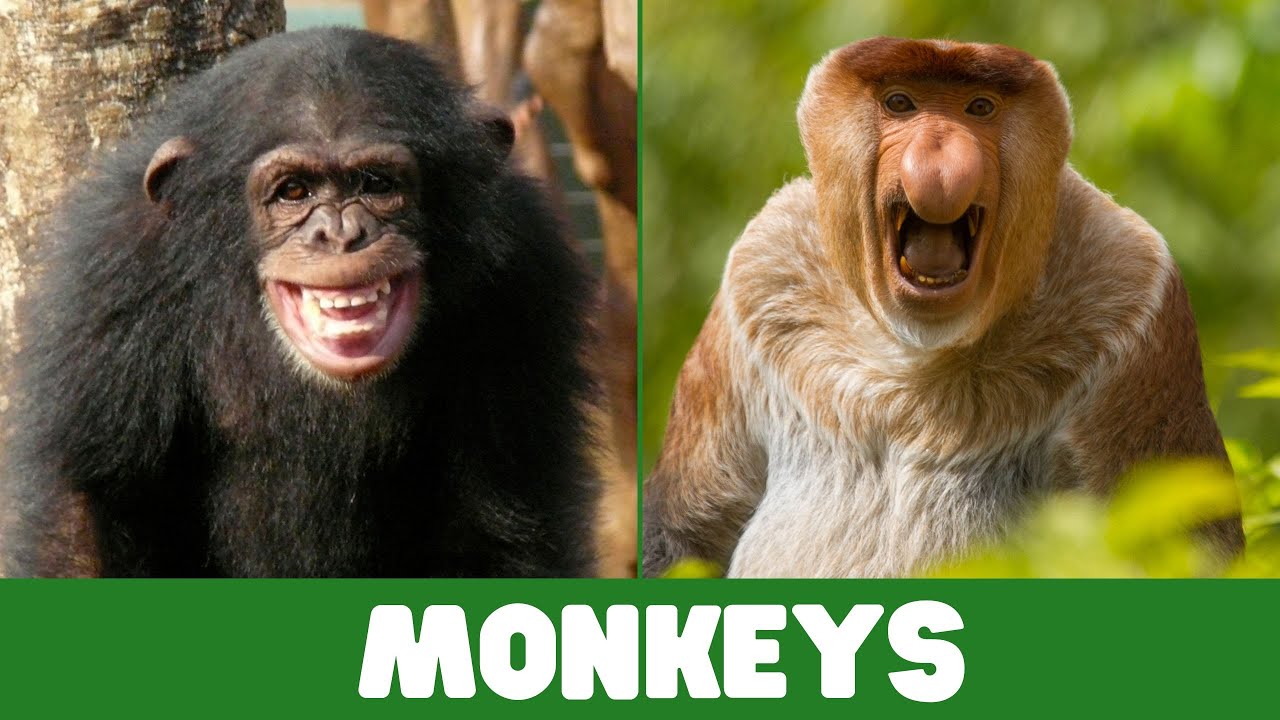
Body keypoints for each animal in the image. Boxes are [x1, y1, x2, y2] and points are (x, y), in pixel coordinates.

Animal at [0, 27, 602, 578]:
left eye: (376, 184)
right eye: (294, 191)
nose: (339, 234)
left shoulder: (526, 282)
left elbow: (500, 525)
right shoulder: (110, 282)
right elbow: (86, 515)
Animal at [642, 37, 1244, 578]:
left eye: (979, 108)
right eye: (900, 103)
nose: (938, 156)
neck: (917, 346)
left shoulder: (1137, 292)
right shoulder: (758, 269)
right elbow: (685, 532)